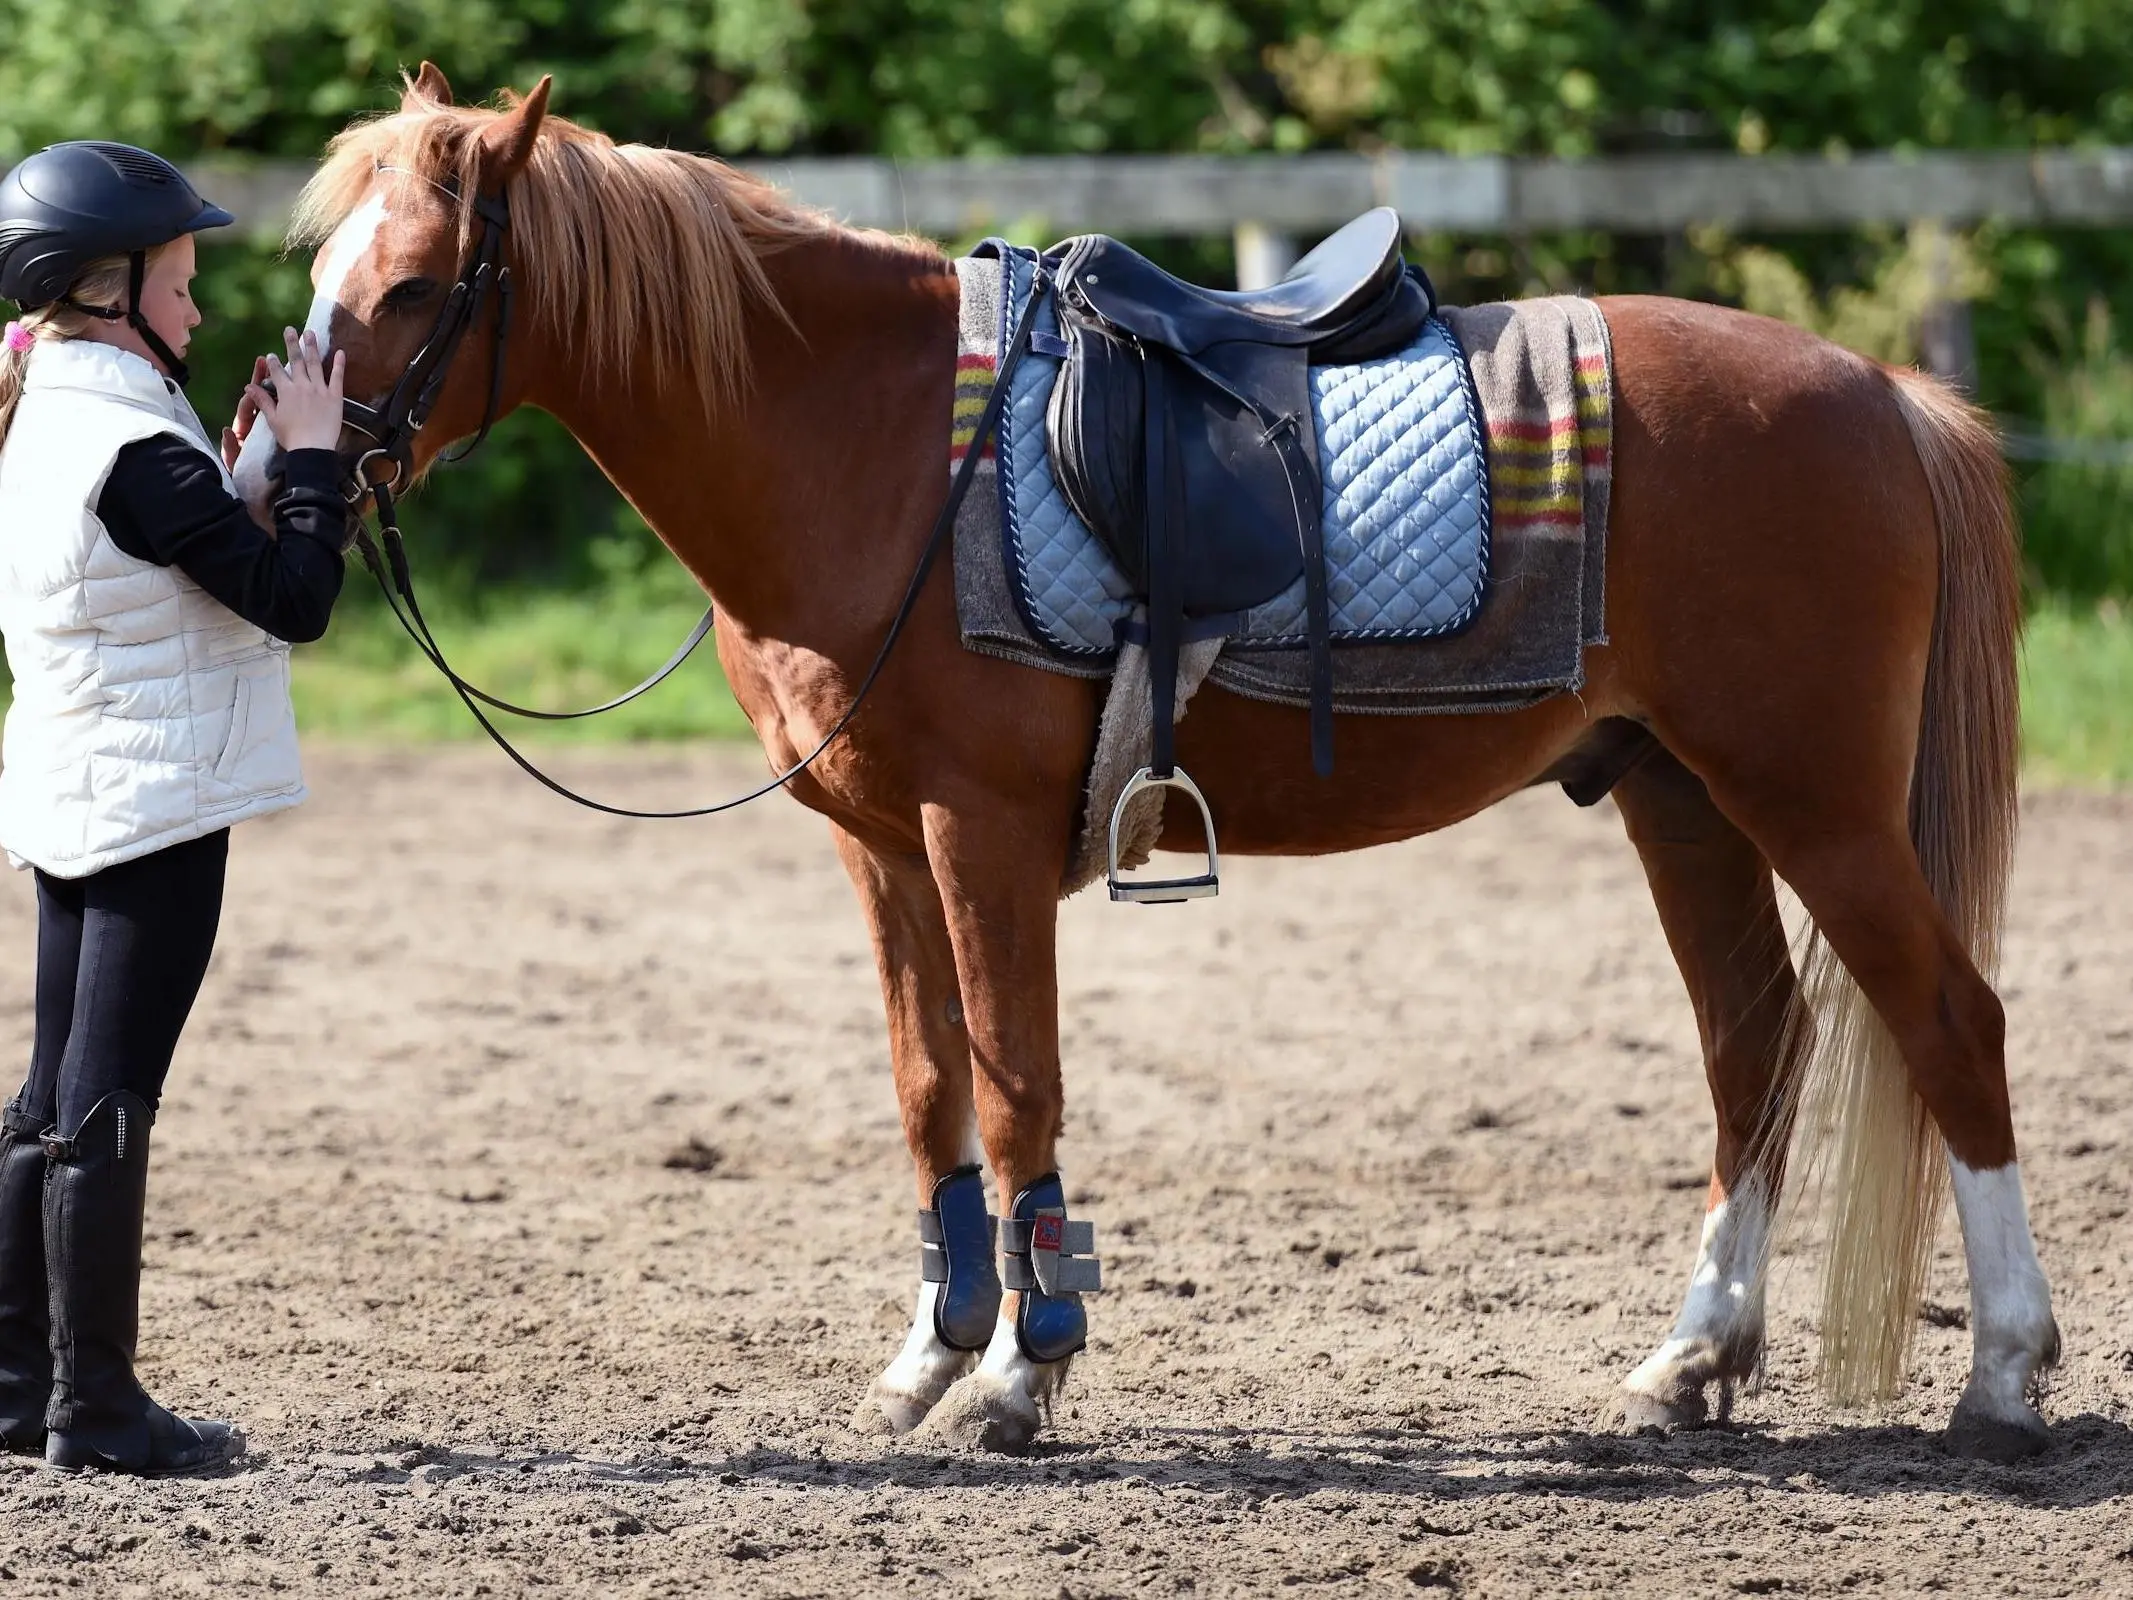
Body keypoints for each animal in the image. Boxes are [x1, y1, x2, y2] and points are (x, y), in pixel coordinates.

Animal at [235, 68, 2061, 1462]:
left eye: (414, 286)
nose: (263, 481)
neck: (866, 442)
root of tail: (1880, 392)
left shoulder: (971, 834)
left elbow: (1014, 1085)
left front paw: (1018, 1371)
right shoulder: (876, 847)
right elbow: (927, 1087)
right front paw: (931, 1351)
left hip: (1813, 801)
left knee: (1948, 1025)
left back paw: (2002, 1375)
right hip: (1680, 796)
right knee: (1754, 1048)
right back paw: (1692, 1360)